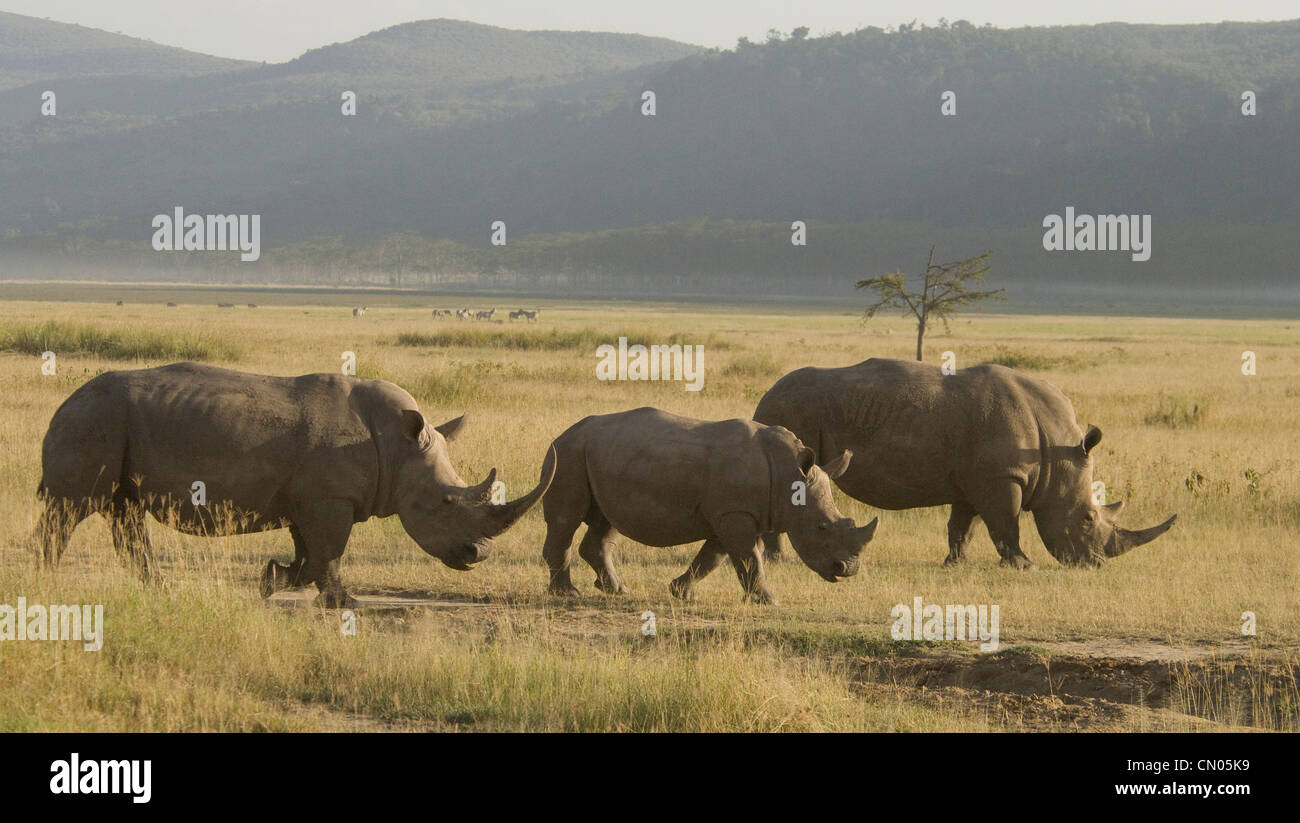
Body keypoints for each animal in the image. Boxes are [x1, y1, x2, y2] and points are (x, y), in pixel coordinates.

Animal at [35, 362, 556, 607]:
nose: (479, 555)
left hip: (107, 423)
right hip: (93, 420)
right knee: (71, 507)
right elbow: (330, 553)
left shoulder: (310, 500)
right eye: (447, 502)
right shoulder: (329, 500)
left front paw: (271, 579)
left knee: (124, 512)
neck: (398, 448)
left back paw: (158, 590)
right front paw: (346, 603)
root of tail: (65, 400)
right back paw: (46, 583)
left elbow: (311, 555)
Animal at [538, 407, 878, 604]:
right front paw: (768, 601)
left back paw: (617, 590)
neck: (788, 475)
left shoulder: (733, 513)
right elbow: (748, 557)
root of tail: (564, 432)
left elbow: (714, 557)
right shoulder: (735, 513)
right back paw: (567, 593)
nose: (848, 570)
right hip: (568, 454)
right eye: (821, 527)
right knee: (566, 520)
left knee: (606, 521)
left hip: (599, 456)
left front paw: (680, 592)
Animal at [754, 358, 1176, 568]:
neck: (1056, 452)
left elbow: (962, 527)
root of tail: (765, 395)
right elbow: (1006, 525)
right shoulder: (1002, 477)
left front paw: (953, 564)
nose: (1095, 564)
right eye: (1087, 518)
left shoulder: (975, 480)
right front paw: (1023, 565)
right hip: (791, 411)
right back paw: (778, 561)